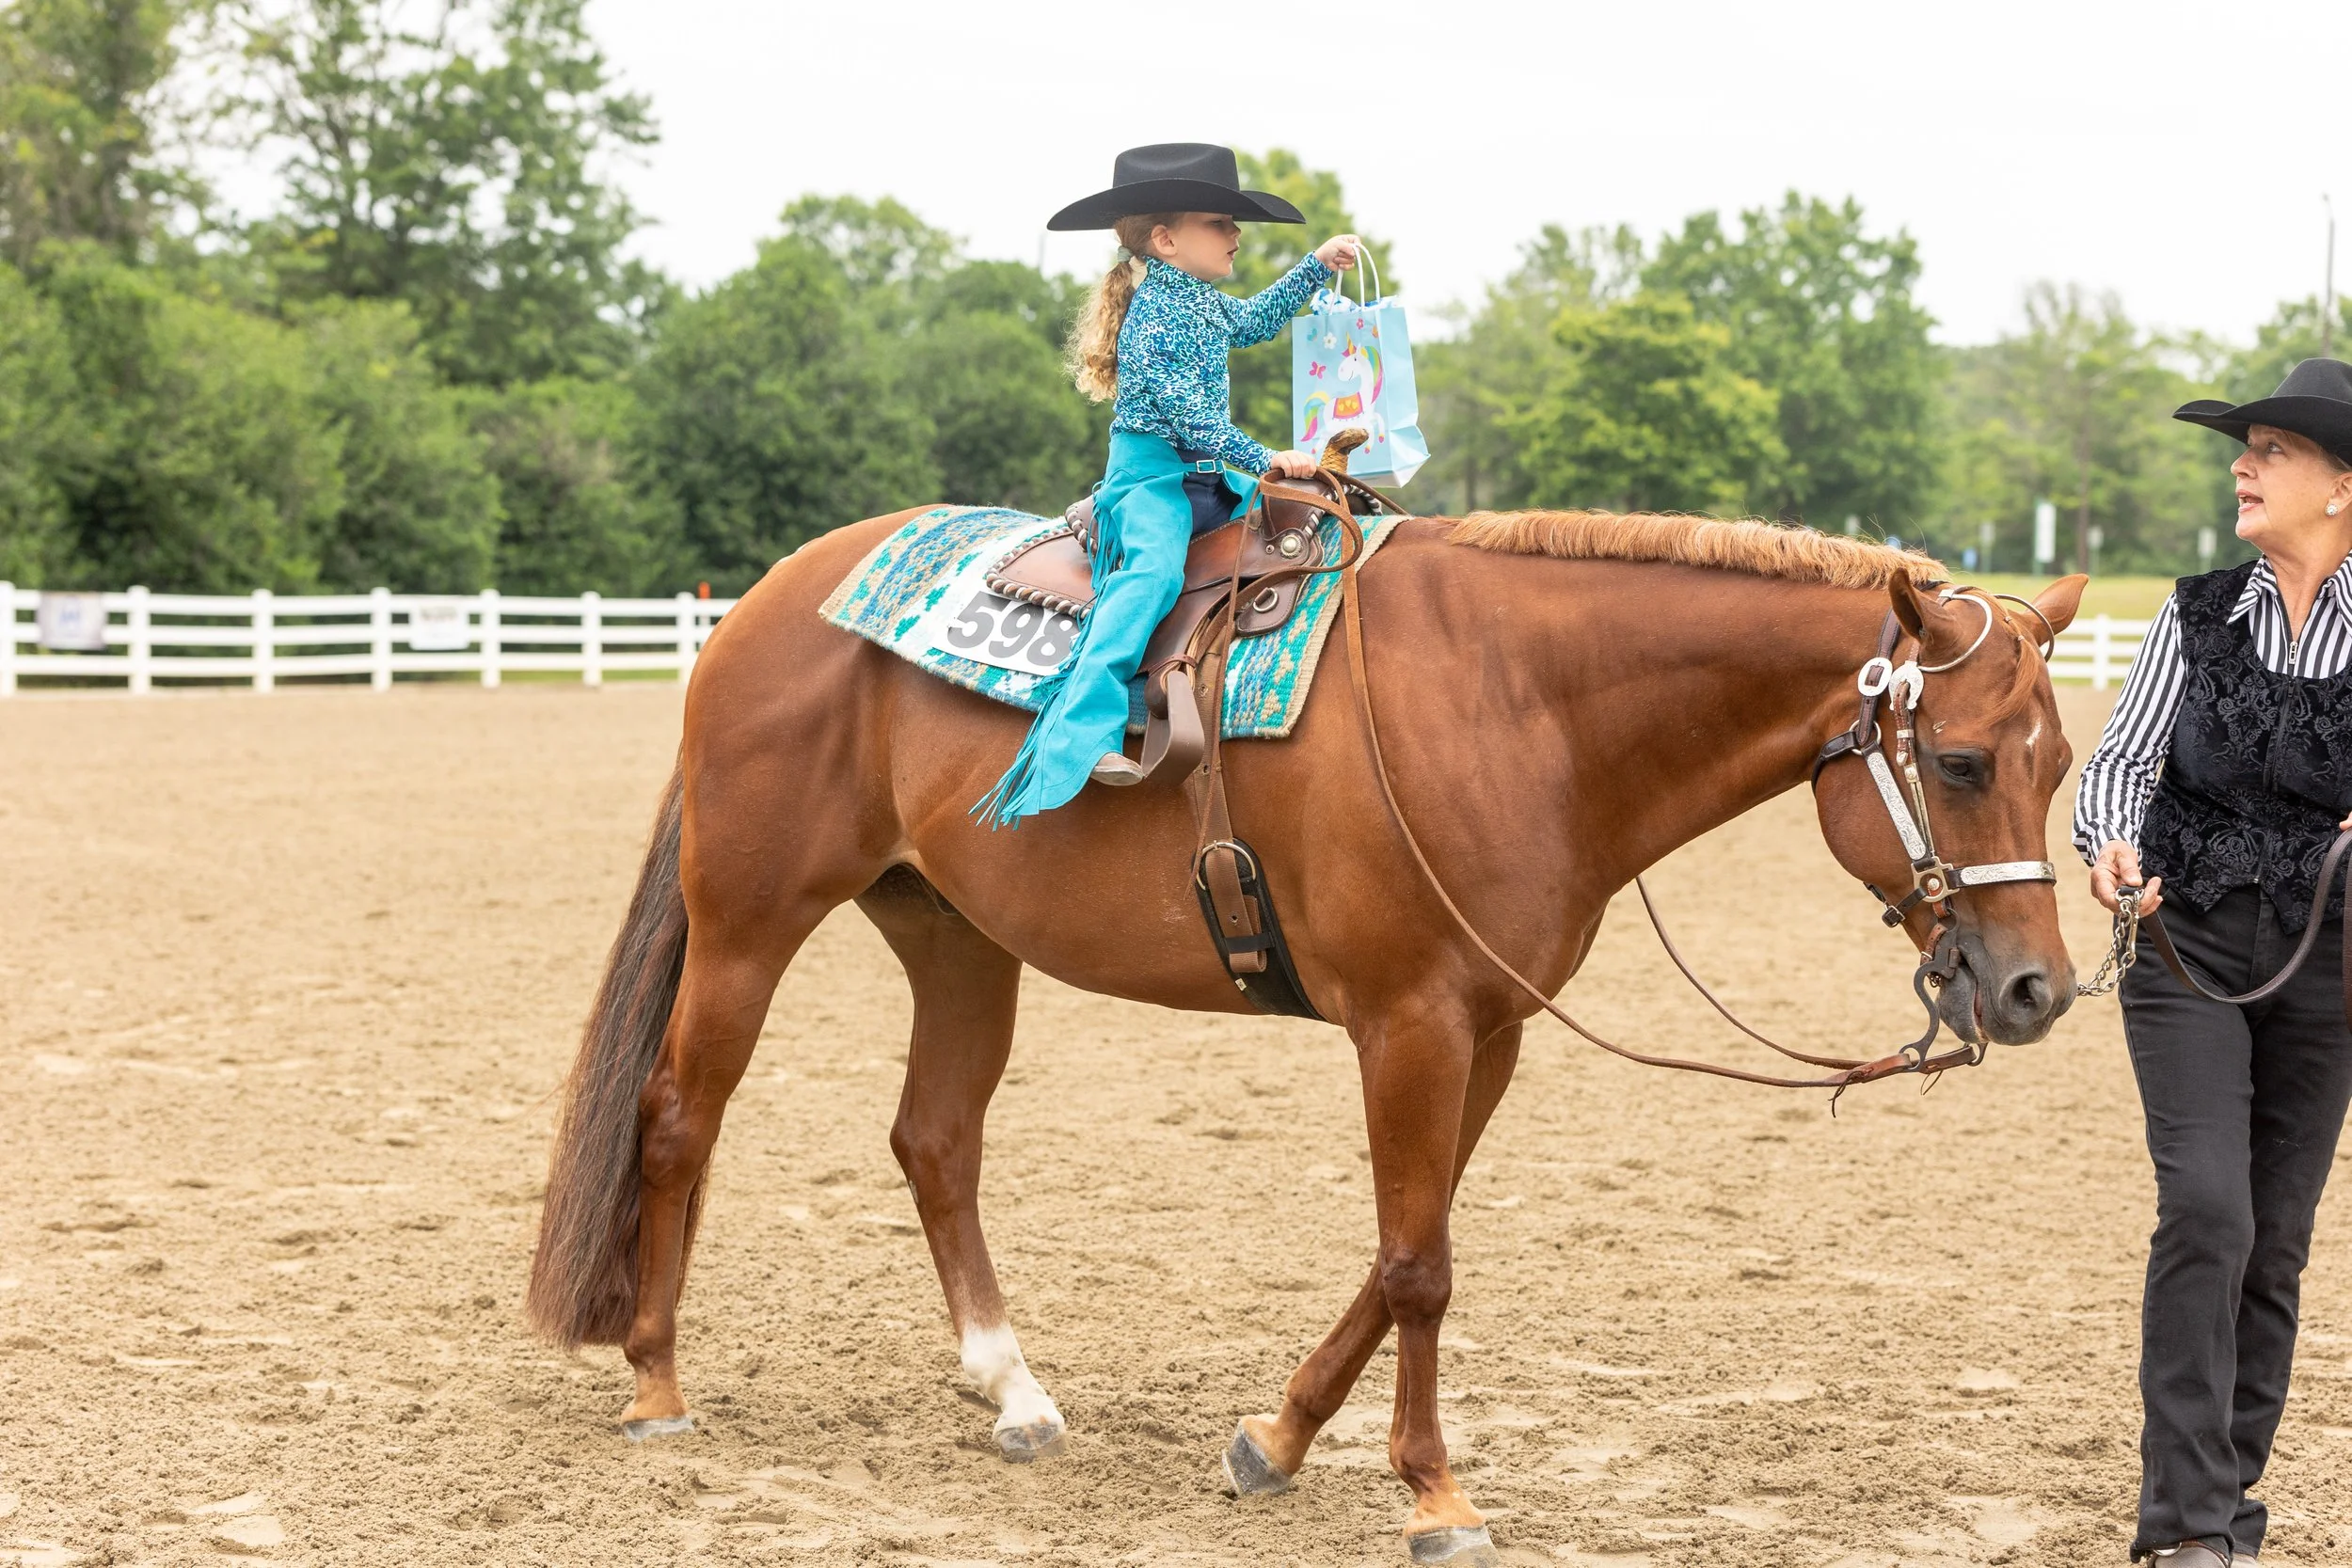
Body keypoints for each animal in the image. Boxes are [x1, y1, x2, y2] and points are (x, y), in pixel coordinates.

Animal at [523, 501, 2088, 1566]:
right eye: (1958, 760)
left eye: (2063, 758)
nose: (2035, 991)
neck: (1519, 703)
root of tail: (765, 603)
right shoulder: (1409, 1023)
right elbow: (1419, 1265)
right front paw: (1435, 1491)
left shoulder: (1485, 1031)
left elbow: (1406, 1246)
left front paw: (1273, 1438)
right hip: (750, 921)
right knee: (678, 1114)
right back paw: (656, 1378)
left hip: (957, 938)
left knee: (935, 1141)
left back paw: (1012, 1387)